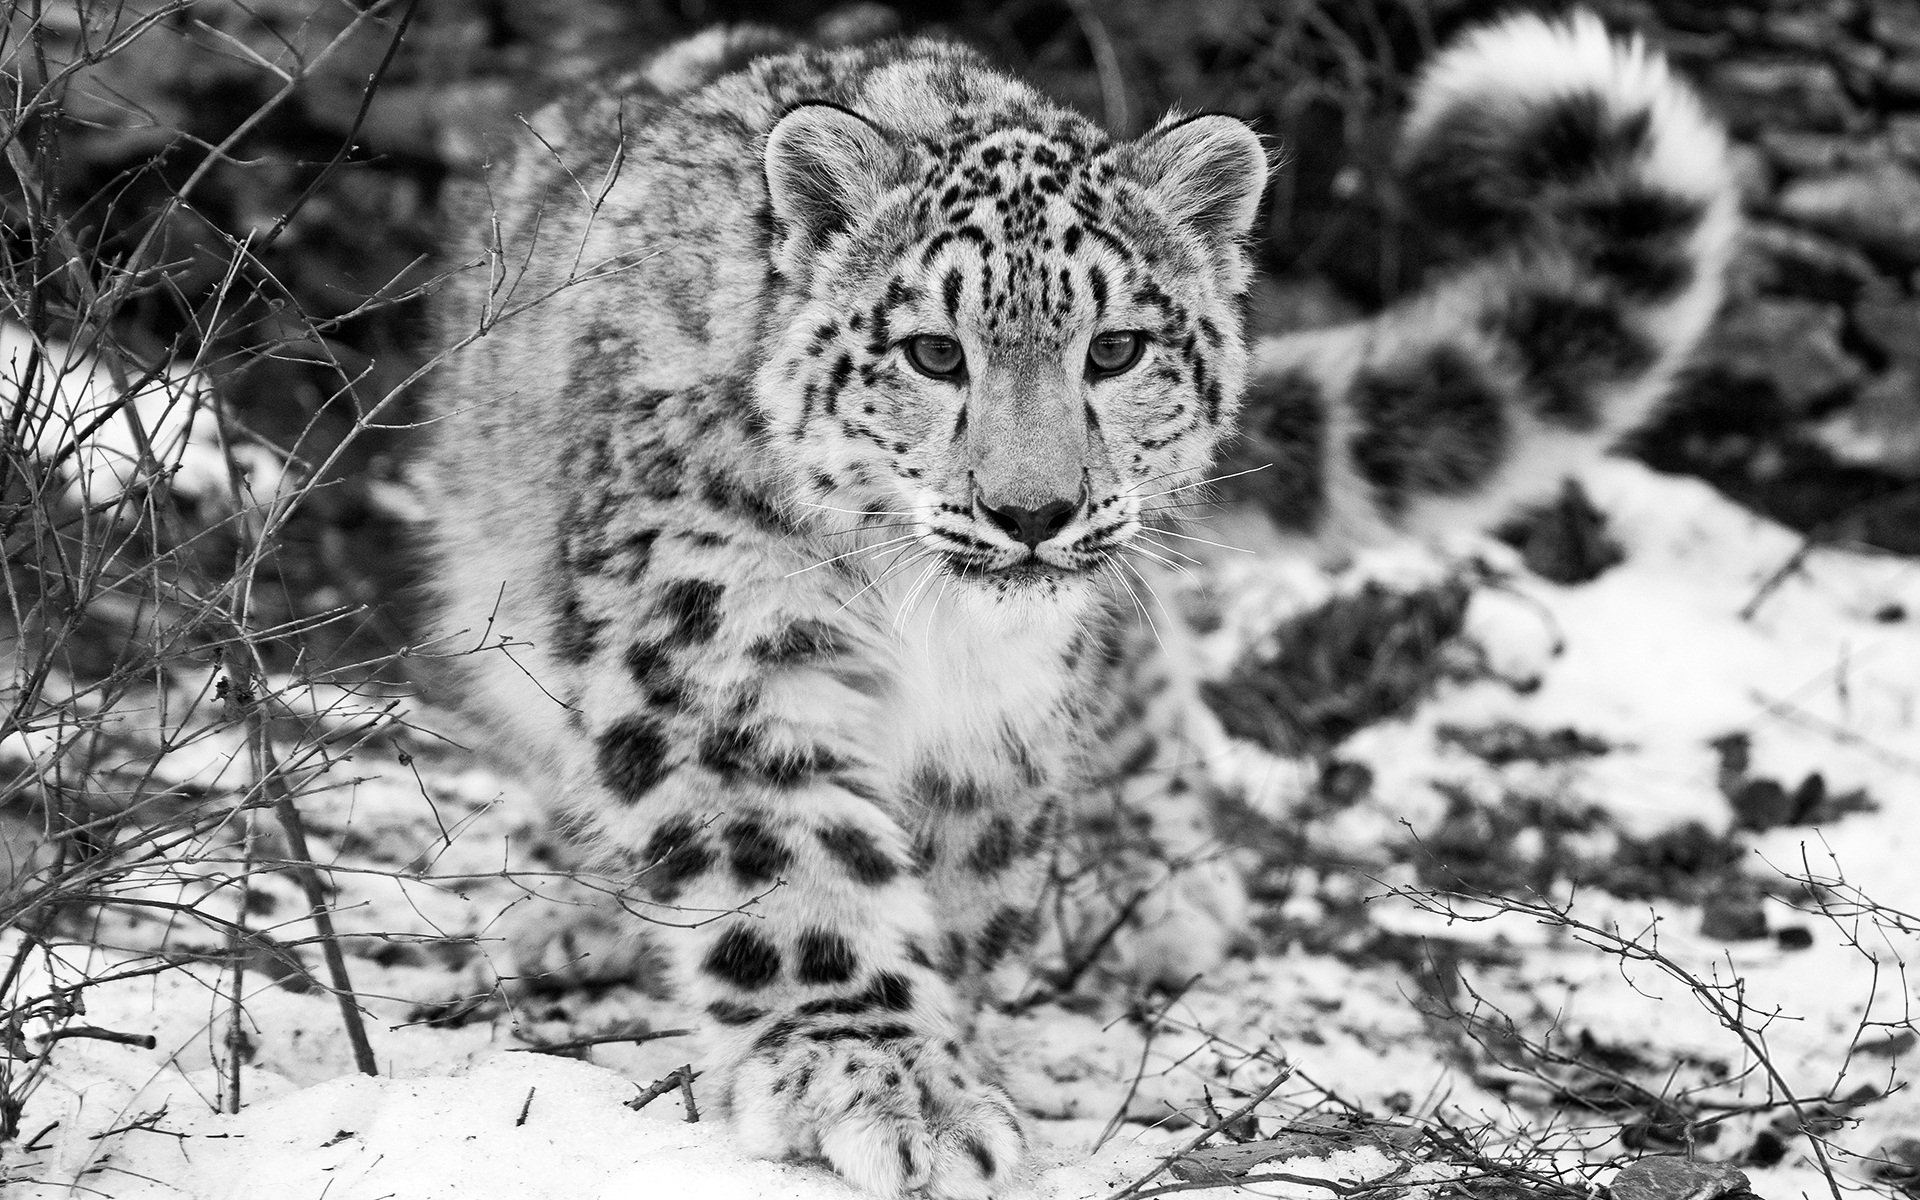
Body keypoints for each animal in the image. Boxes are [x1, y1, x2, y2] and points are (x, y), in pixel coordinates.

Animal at [421, 10, 1736, 1197]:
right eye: (932, 352)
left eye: (1115, 349)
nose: (1033, 511)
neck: (930, 627)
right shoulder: (723, 643)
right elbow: (793, 867)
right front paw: (881, 1080)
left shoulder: (999, 721)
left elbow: (965, 888)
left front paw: (954, 1052)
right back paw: (576, 917)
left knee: (1144, 690)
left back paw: (1159, 887)